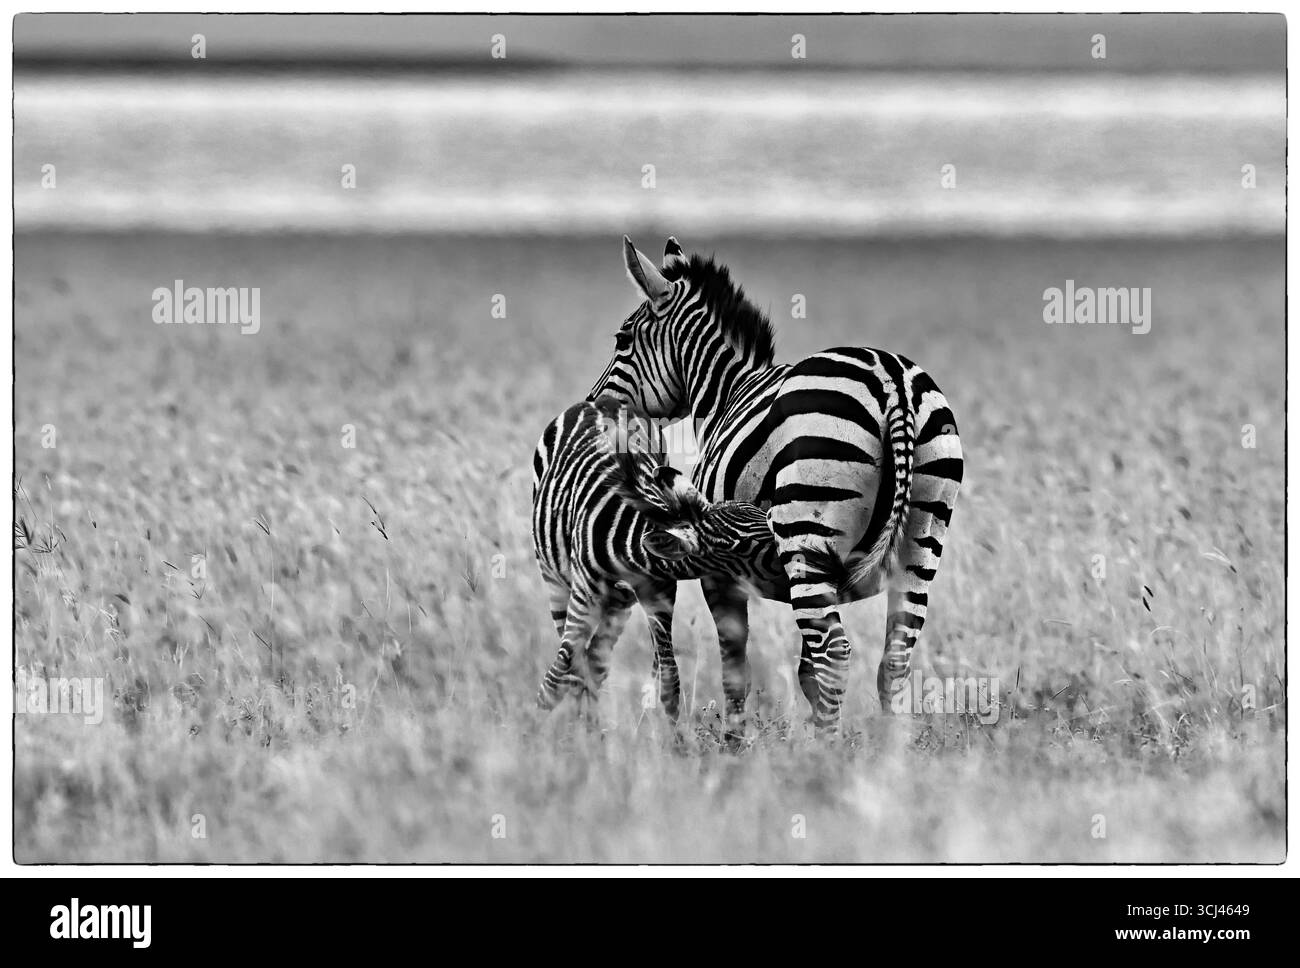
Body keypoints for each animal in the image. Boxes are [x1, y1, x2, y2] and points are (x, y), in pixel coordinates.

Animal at [532, 397, 783, 717]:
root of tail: (602, 401)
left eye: (760, 513)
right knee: (576, 664)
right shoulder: (584, 592)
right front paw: (538, 727)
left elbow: (668, 676)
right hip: (555, 582)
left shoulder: (658, 593)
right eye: (742, 546)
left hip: (618, 604)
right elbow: (557, 675)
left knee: (594, 662)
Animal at [587, 236, 964, 735]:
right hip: (921, 537)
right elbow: (803, 674)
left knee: (835, 654)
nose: (593, 408)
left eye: (622, 340)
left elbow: (735, 668)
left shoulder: (716, 568)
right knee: (894, 658)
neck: (726, 392)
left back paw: (826, 749)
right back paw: (887, 746)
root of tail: (893, 381)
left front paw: (735, 739)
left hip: (808, 533)